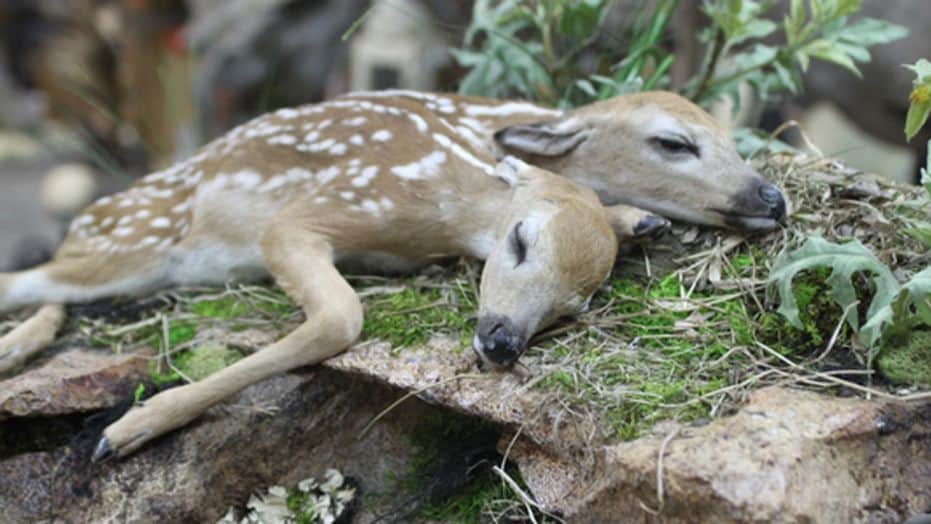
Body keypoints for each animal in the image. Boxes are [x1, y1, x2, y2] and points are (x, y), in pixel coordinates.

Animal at [0, 90, 785, 459]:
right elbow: (342, 317)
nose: (772, 198)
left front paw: (639, 222)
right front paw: (129, 430)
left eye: (574, 307)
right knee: (30, 280)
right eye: (673, 142)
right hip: (132, 246)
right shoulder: (310, 214)